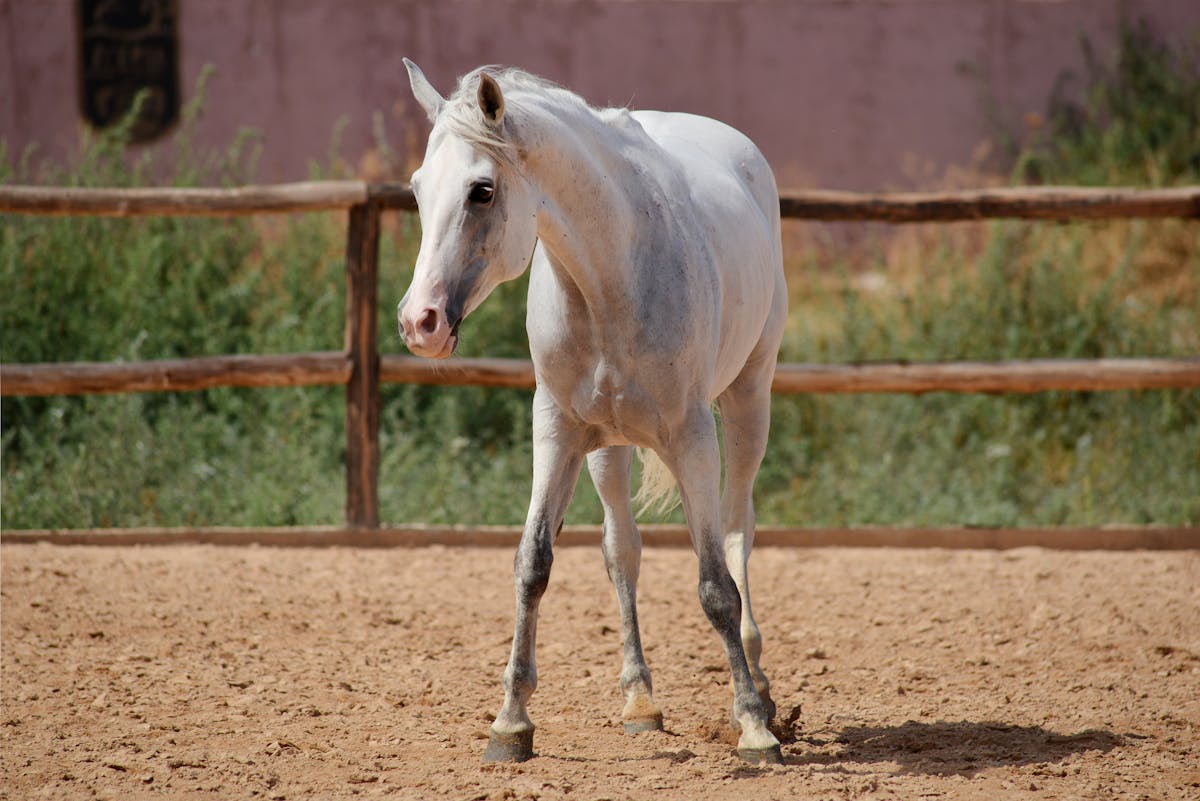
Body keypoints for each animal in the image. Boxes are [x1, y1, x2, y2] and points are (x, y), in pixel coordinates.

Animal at [397, 60, 788, 765]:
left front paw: (752, 726)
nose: (421, 323)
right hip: (610, 447)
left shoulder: (694, 436)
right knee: (622, 550)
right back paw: (640, 702)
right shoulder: (555, 430)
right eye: (417, 189)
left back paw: (761, 686)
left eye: (481, 191)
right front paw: (510, 724)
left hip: (748, 403)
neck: (614, 271)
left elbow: (715, 584)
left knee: (737, 529)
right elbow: (533, 565)